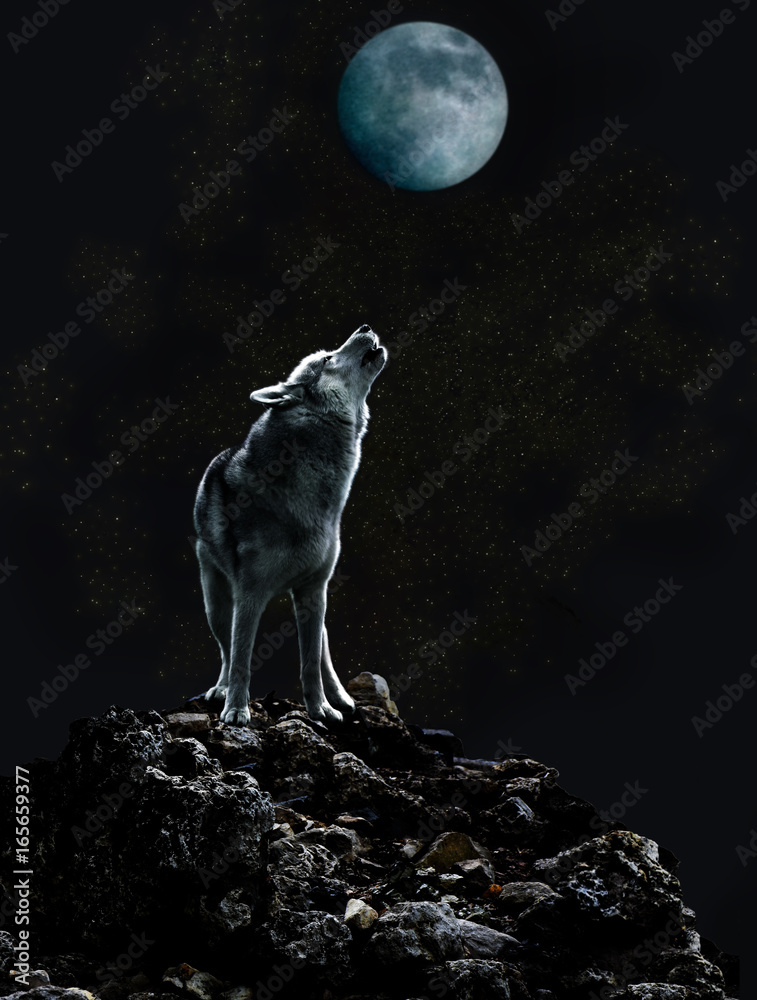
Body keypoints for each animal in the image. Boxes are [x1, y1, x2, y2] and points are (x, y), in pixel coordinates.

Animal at [193, 324, 386, 726]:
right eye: (326, 359)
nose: (364, 327)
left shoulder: (313, 590)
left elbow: (311, 661)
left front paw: (321, 709)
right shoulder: (249, 595)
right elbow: (241, 658)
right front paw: (236, 710)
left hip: (317, 603)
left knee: (324, 652)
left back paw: (341, 698)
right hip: (216, 604)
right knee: (225, 650)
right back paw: (220, 690)